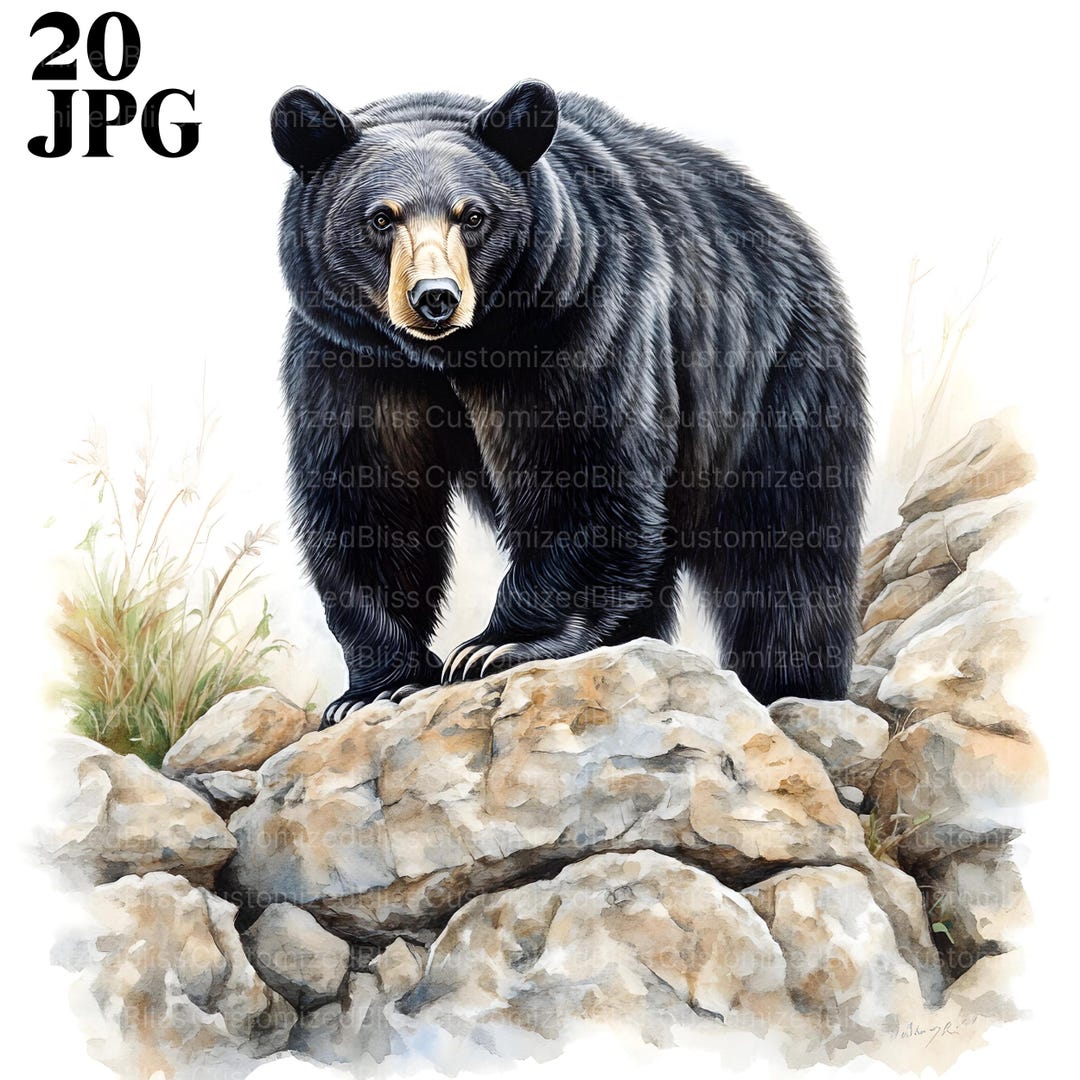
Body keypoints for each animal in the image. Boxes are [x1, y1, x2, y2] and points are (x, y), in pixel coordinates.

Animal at [270, 80, 869, 727]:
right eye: (381, 217)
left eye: (473, 215)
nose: (435, 297)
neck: (454, 354)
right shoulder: (353, 356)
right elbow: (368, 496)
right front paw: (377, 685)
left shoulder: (580, 316)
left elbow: (580, 466)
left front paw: (498, 646)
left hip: (773, 381)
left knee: (784, 549)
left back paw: (791, 684)